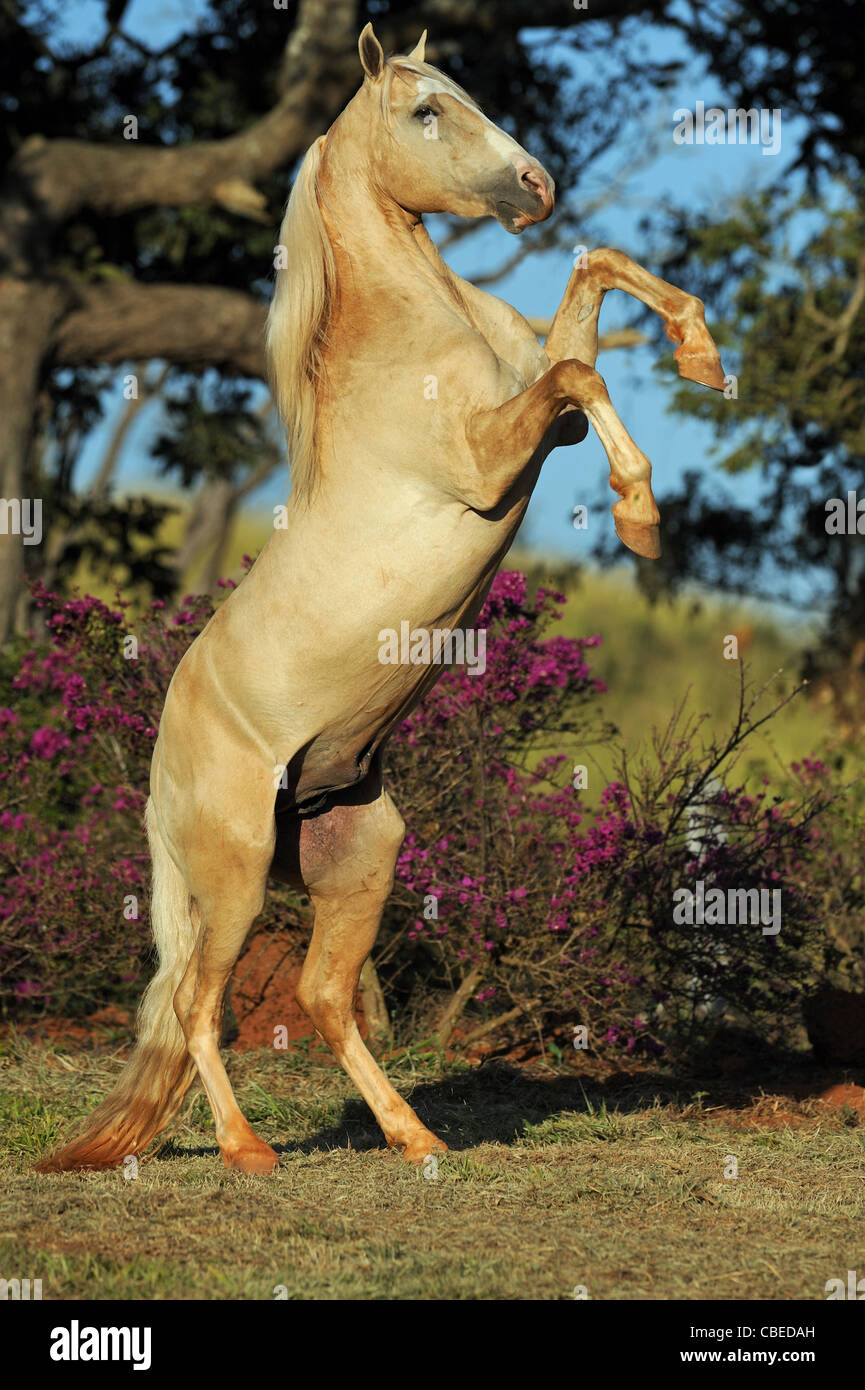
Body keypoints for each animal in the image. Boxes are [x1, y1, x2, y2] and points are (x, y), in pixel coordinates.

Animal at [38, 24, 726, 1176]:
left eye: (462, 92)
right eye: (424, 111)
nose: (536, 187)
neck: (414, 333)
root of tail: (159, 766)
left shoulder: (537, 416)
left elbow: (593, 282)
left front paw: (703, 356)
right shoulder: (494, 457)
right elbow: (581, 376)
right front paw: (640, 517)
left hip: (356, 853)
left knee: (319, 995)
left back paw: (414, 1136)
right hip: (232, 877)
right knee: (196, 1002)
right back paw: (248, 1152)